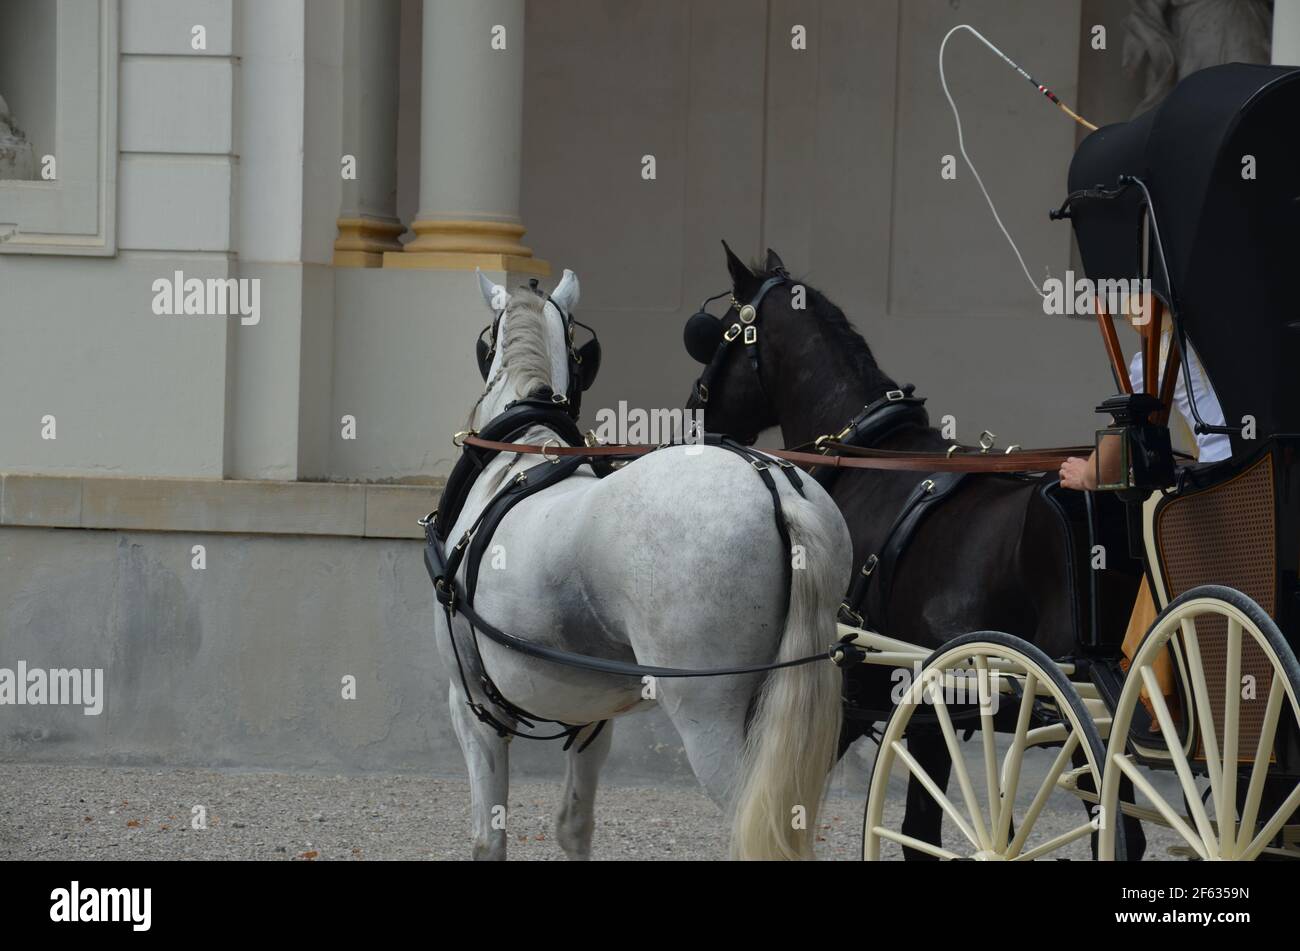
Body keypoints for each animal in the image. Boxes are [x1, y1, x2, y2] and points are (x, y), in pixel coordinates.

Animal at [431, 268, 853, 860]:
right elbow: (573, 826)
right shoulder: (593, 717)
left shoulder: (474, 710)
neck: (515, 458)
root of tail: (772, 481)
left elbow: (487, 840)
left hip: (710, 721)